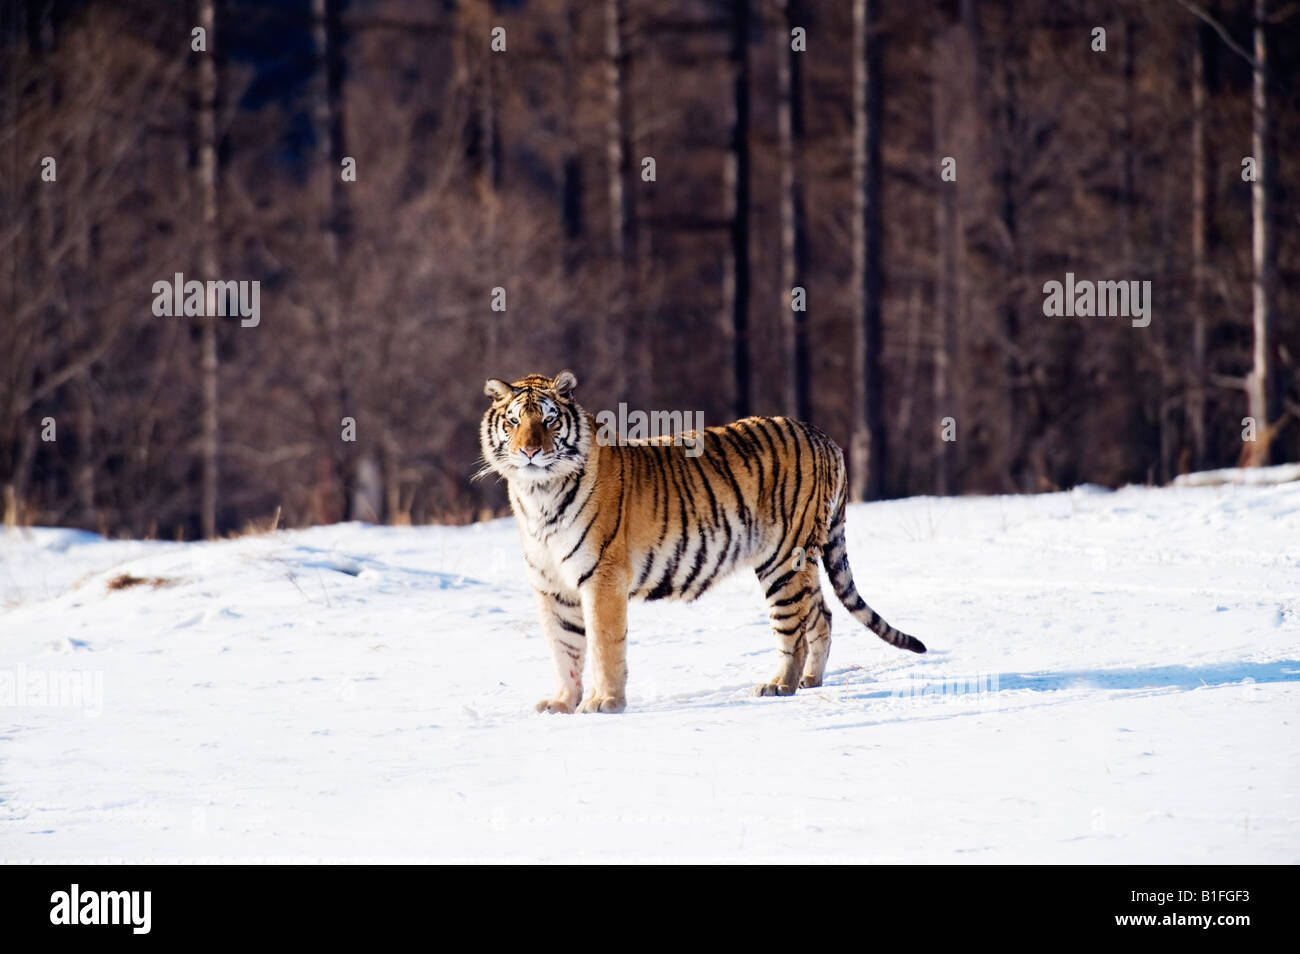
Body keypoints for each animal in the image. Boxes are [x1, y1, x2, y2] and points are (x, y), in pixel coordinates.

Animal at [478, 370, 926, 714]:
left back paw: (780, 685)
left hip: (783, 558)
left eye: (549, 420)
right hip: (799, 561)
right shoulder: (551, 585)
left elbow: (604, 645)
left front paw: (604, 703)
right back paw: (812, 680)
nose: (530, 450)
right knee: (822, 615)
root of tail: (823, 436)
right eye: (514, 421)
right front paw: (562, 703)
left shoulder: (601, 577)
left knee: (792, 627)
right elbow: (564, 648)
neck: (538, 495)